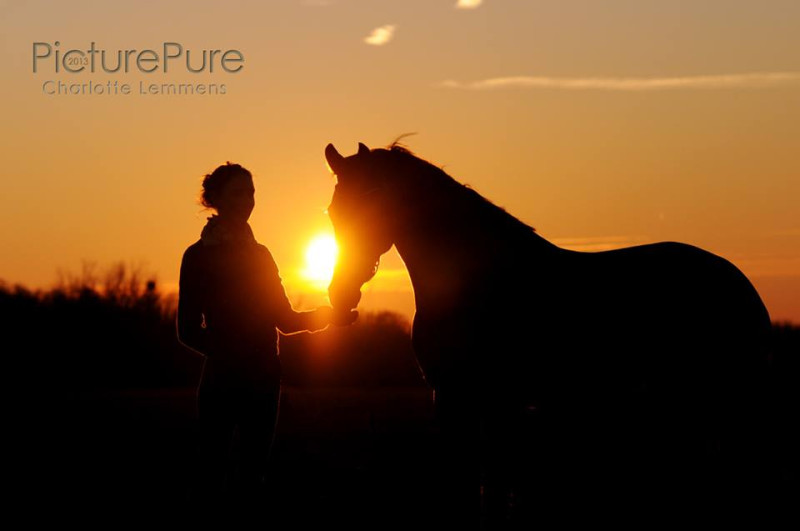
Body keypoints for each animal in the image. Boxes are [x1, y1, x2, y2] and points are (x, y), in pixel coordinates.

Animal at [324, 141, 773, 525]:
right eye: (332, 213)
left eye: (371, 203)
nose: (340, 294)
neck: (473, 279)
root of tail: (739, 282)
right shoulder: (465, 398)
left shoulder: (479, 397)